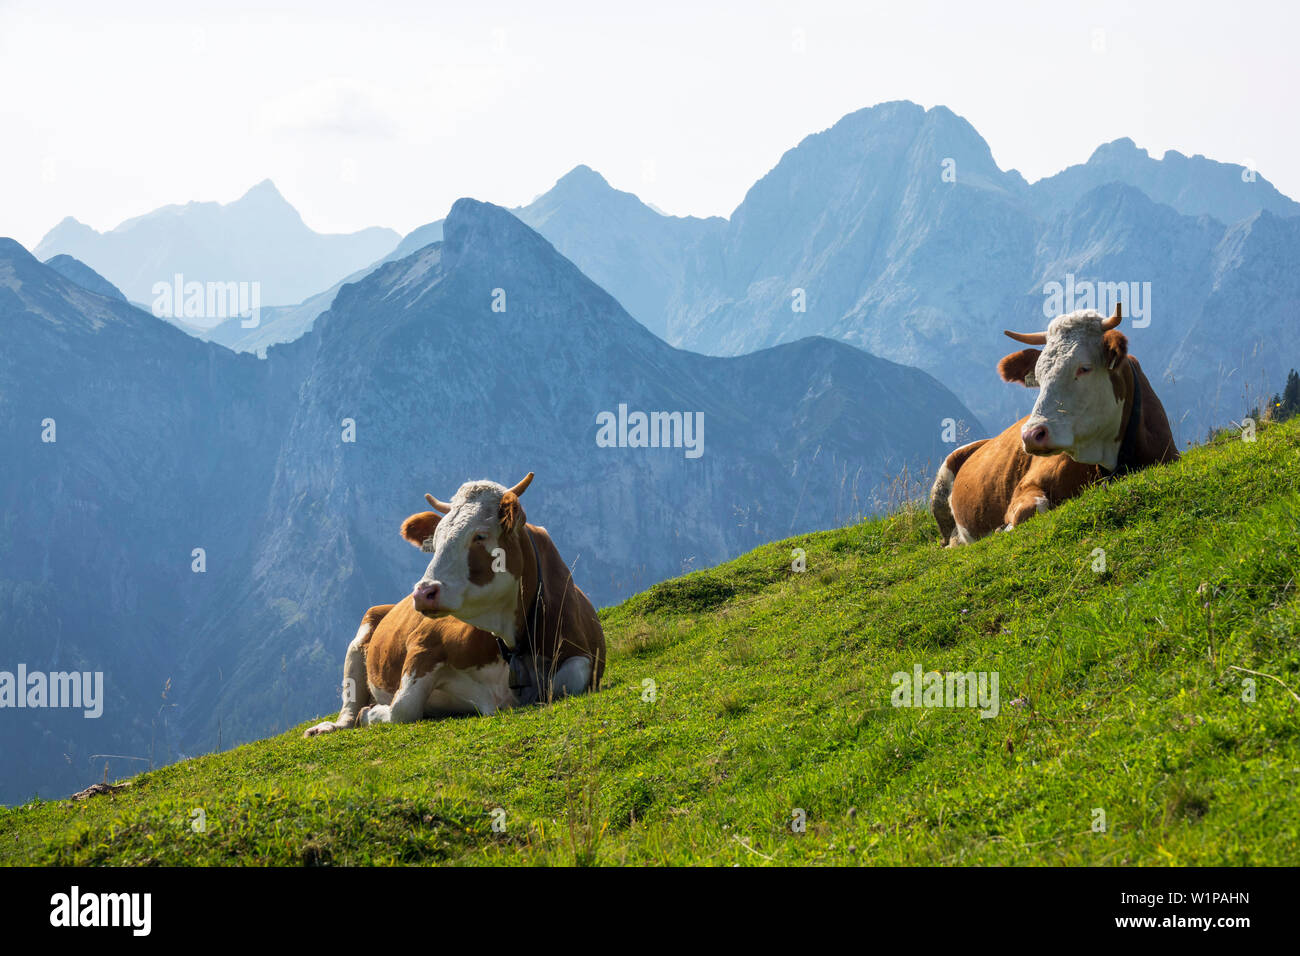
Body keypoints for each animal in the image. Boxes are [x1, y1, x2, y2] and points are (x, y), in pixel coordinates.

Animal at [303, 513, 517, 737]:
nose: (424, 592)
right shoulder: (424, 642)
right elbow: (403, 707)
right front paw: (369, 713)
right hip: (360, 638)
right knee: (349, 708)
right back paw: (325, 727)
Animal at [930, 305, 1178, 546]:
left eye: (1084, 368)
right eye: (1038, 377)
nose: (1031, 435)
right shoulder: (1025, 486)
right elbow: (1032, 509)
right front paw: (1002, 528)